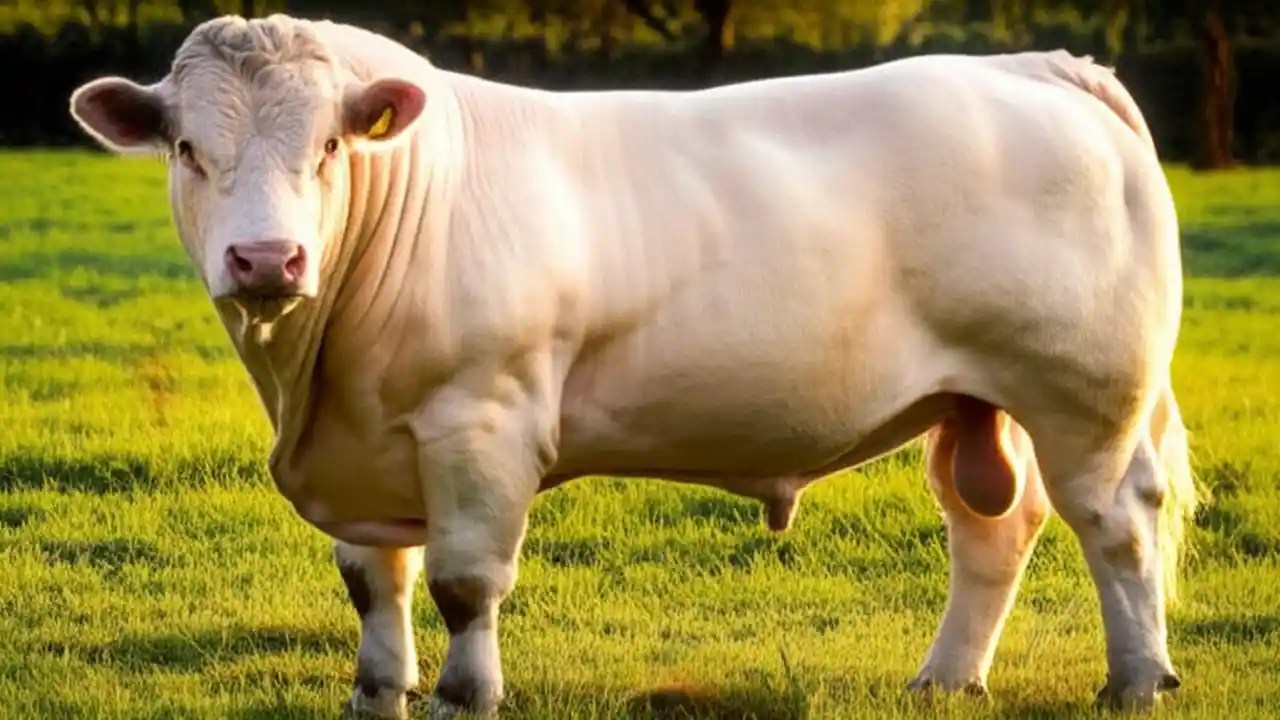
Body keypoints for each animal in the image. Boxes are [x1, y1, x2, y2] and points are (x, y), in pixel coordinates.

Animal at [69, 13, 1197, 719]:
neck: (316, 384)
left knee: (1116, 523)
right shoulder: (367, 453)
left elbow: (465, 584)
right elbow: (374, 583)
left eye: (331, 150)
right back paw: (944, 680)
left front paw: (463, 697)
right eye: (186, 151)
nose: (268, 260)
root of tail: (1032, 65)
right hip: (976, 403)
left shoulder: (482, 423)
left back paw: (1136, 680)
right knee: (992, 527)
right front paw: (374, 694)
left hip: (1084, 396)